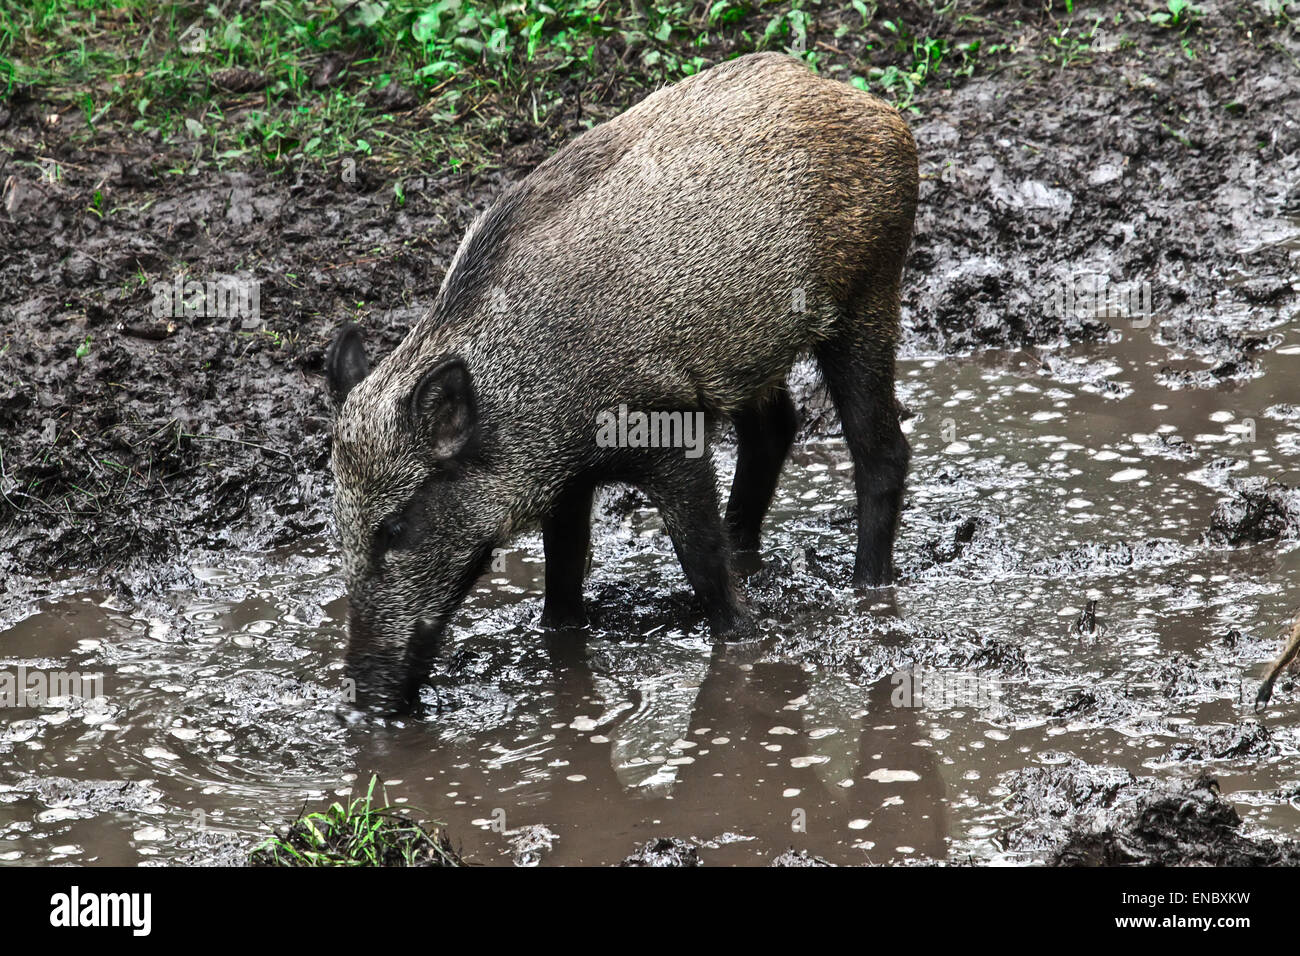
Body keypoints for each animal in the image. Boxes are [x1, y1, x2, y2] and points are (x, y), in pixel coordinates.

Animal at [325, 52, 918, 714]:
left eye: (395, 528)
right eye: (340, 522)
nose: (362, 703)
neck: (527, 386)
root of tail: (873, 107)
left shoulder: (667, 428)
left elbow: (698, 556)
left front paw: (741, 639)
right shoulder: (566, 481)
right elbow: (562, 574)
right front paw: (559, 644)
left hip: (868, 294)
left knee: (881, 451)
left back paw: (868, 589)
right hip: (755, 353)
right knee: (776, 427)